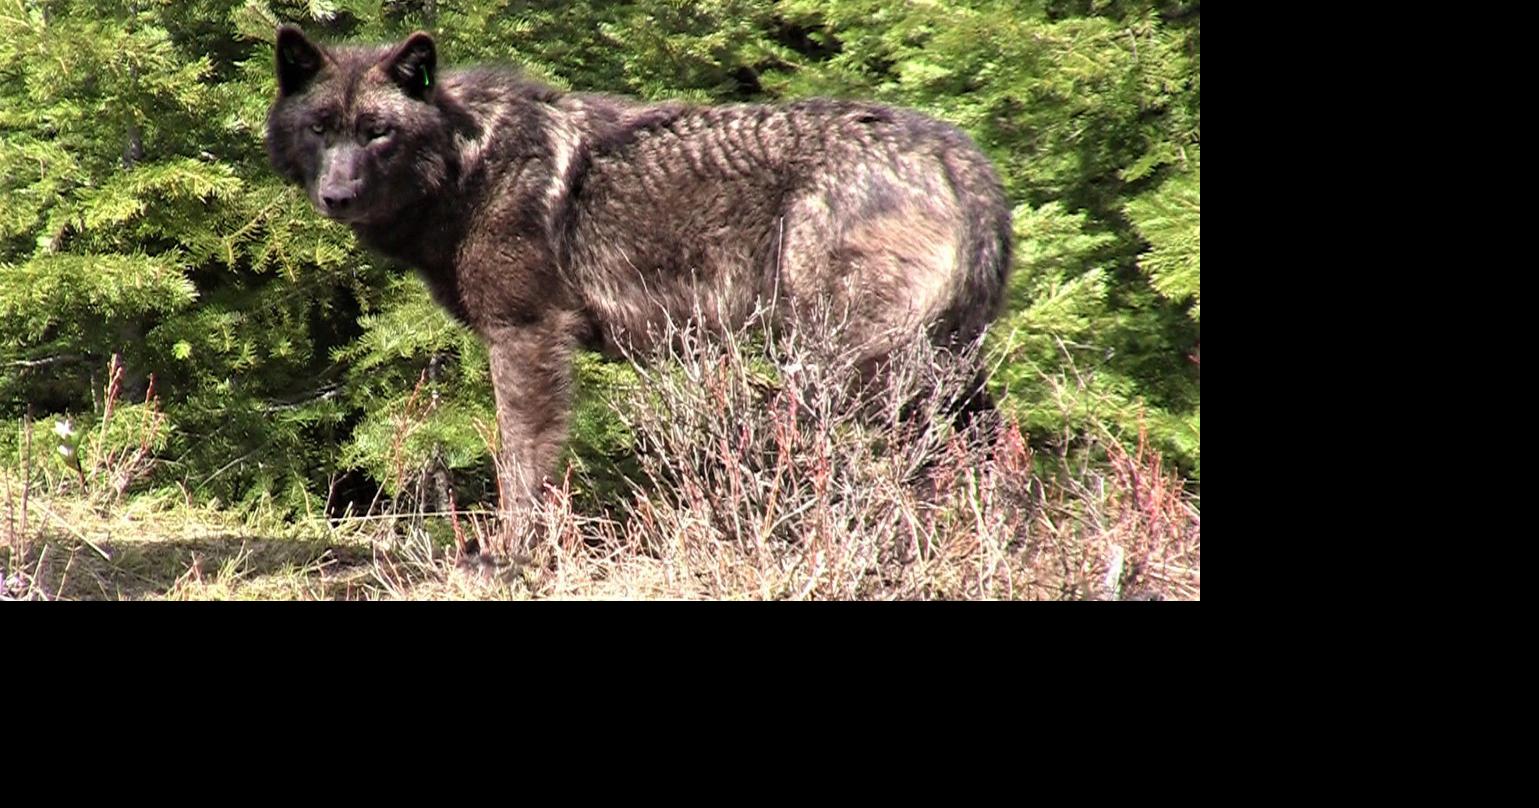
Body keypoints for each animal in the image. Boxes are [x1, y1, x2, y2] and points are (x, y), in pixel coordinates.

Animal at [265, 26, 1013, 543]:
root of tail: (957, 152)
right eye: (320, 129)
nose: (337, 195)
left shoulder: (526, 336)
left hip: (853, 370)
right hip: (936, 371)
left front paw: (514, 556)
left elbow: (520, 466)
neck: (466, 166)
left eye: (378, 132)